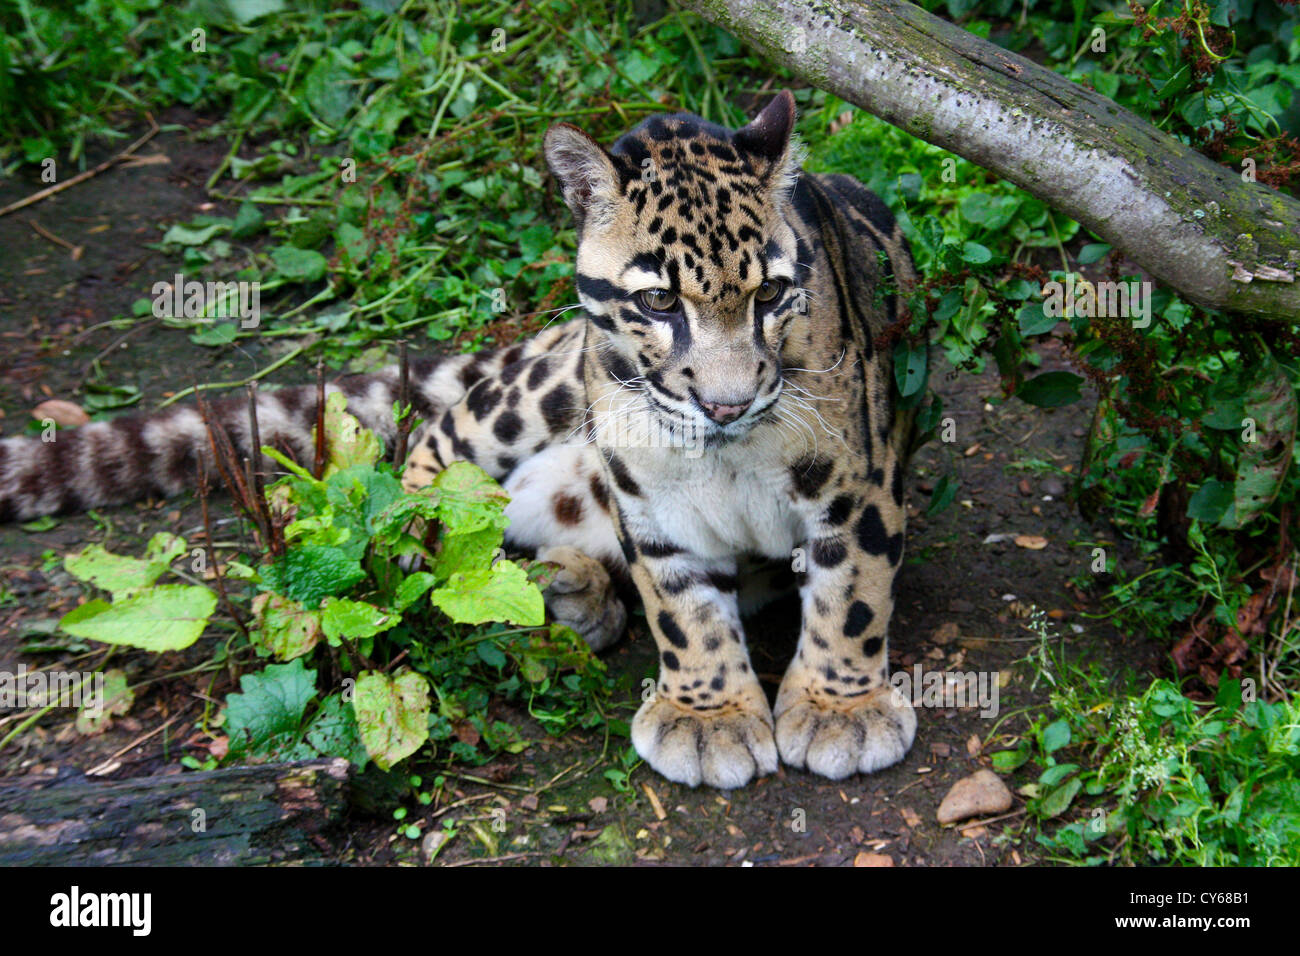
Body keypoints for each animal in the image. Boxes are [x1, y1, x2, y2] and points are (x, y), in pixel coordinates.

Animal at [0, 90, 919, 789]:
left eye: (769, 293)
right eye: (659, 302)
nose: (728, 404)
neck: (724, 453)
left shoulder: (856, 482)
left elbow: (851, 591)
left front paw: (840, 707)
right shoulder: (649, 500)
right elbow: (683, 608)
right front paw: (710, 713)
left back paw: (570, 591)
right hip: (537, 397)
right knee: (438, 448)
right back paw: (423, 549)